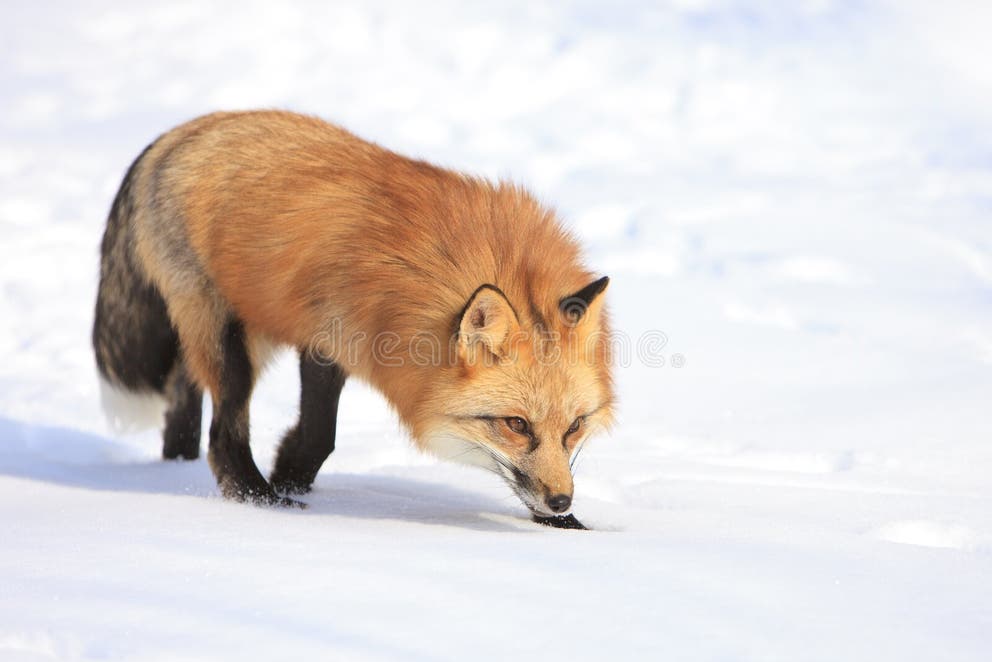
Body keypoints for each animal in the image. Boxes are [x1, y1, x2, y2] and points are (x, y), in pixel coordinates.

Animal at [93, 110, 613, 529]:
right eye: (516, 424)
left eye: (574, 426)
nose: (561, 500)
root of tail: (180, 132)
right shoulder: (328, 335)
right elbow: (319, 436)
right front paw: (287, 482)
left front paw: (572, 531)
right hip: (229, 340)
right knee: (222, 435)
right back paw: (257, 497)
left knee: (181, 392)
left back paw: (175, 469)